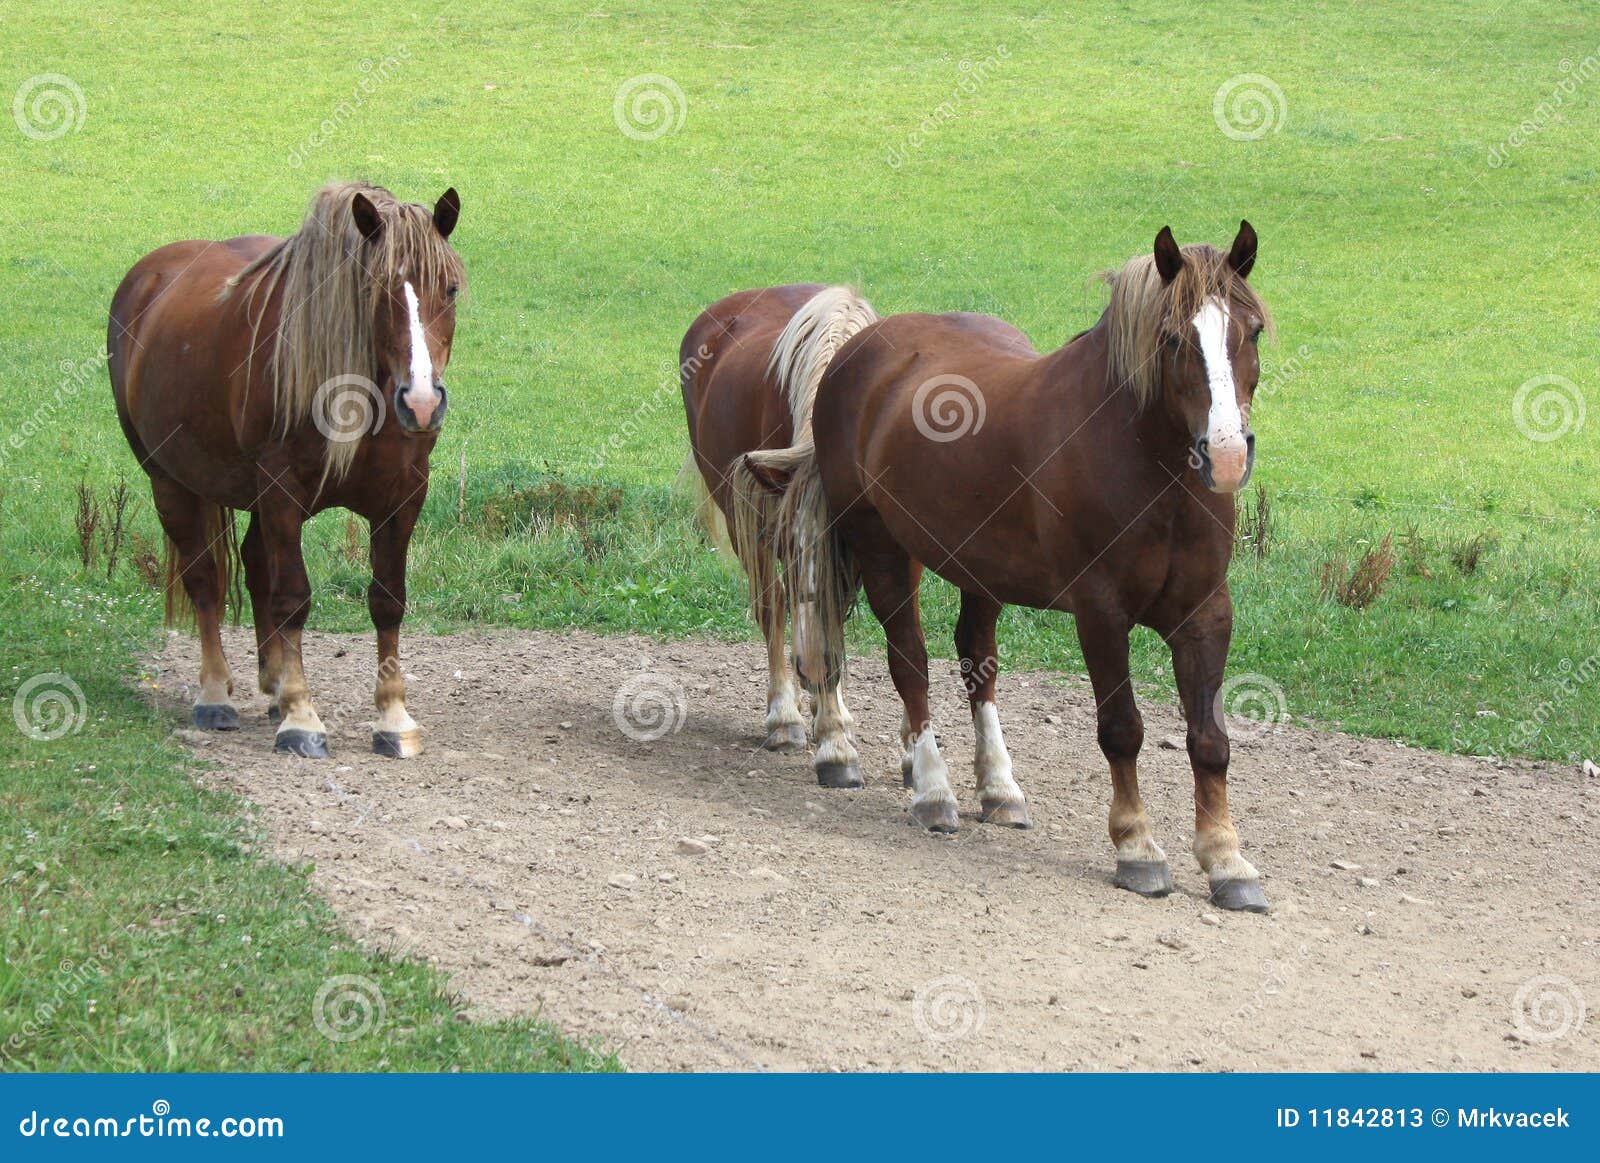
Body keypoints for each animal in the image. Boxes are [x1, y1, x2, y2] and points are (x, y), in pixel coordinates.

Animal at [109, 181, 463, 759]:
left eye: (450, 290)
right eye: (373, 289)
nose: (422, 402)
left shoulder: (404, 497)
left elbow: (387, 600)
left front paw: (393, 717)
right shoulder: (282, 492)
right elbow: (293, 599)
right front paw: (302, 717)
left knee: (255, 567)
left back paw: (273, 684)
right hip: (170, 483)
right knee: (206, 582)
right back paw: (217, 695)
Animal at [680, 285, 878, 787]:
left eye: (845, 555)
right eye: (790, 541)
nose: (810, 669)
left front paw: (836, 726)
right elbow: (783, 611)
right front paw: (831, 742)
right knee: (772, 608)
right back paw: (786, 718)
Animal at [738, 223, 1274, 912]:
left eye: (1251, 330)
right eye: (1174, 338)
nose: (1227, 454)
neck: (1149, 472)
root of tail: (853, 356)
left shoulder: (1206, 614)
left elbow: (1210, 741)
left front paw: (1227, 861)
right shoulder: (1100, 614)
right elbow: (1121, 730)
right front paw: (1137, 849)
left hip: (978, 570)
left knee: (977, 662)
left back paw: (999, 789)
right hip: (883, 549)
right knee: (909, 663)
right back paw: (932, 792)